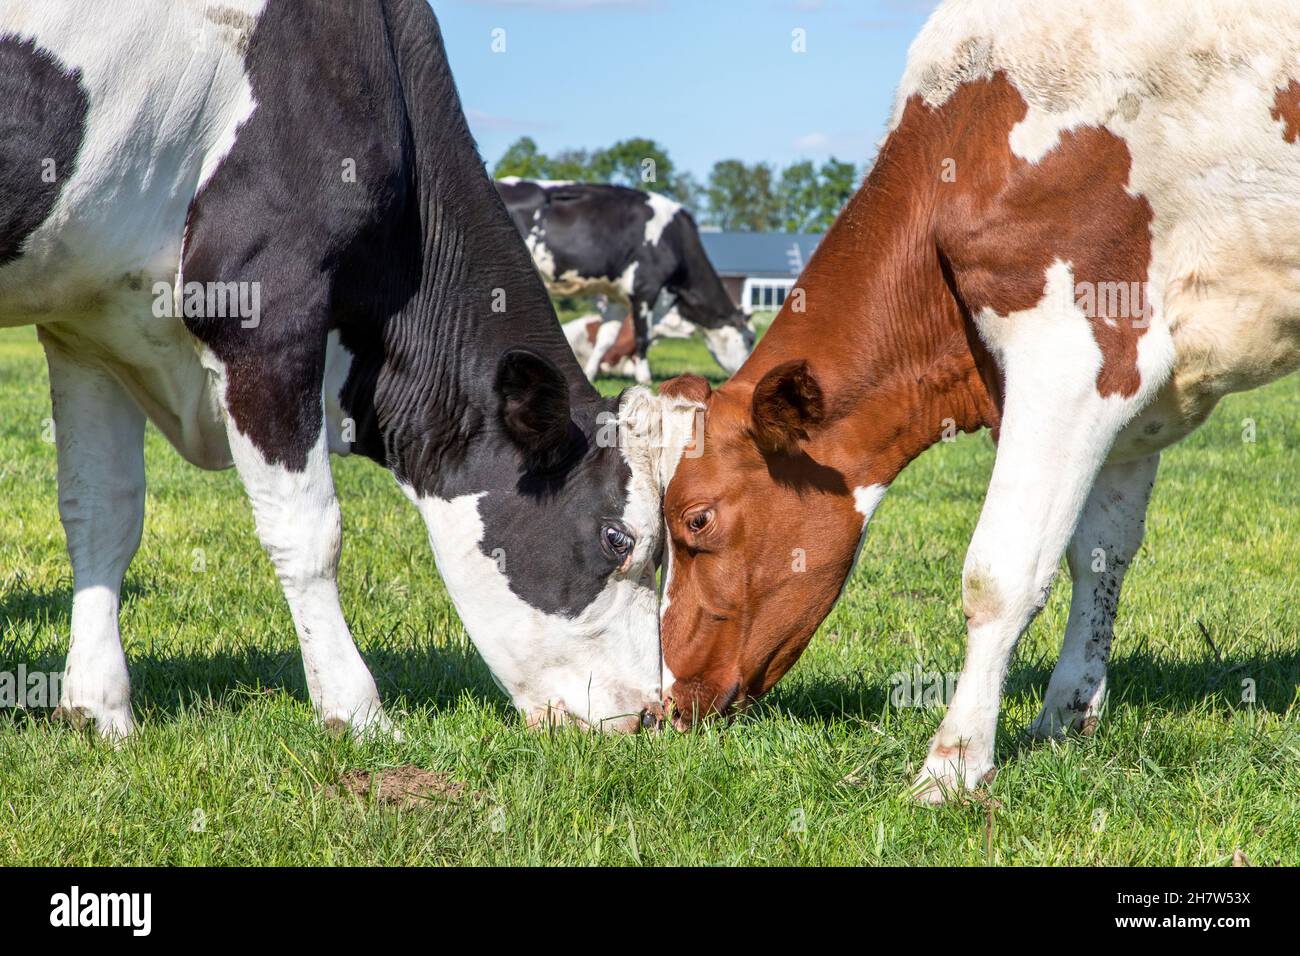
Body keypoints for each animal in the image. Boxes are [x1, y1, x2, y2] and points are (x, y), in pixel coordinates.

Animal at [0, 0, 700, 738]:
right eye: (619, 538)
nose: (648, 712)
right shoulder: (265, 307)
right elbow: (309, 532)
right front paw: (355, 710)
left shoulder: (88, 323)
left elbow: (102, 514)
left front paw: (99, 709)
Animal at [496, 179, 753, 384]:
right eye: (750, 339)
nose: (745, 374)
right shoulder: (645, 289)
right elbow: (643, 336)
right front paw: (645, 378)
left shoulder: (616, 296)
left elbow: (605, 339)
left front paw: (589, 374)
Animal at [658, 0, 1300, 802]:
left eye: (697, 519)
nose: (665, 705)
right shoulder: (1134, 391)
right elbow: (1099, 555)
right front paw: (1065, 717)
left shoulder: (1074, 352)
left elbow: (1001, 571)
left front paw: (952, 764)